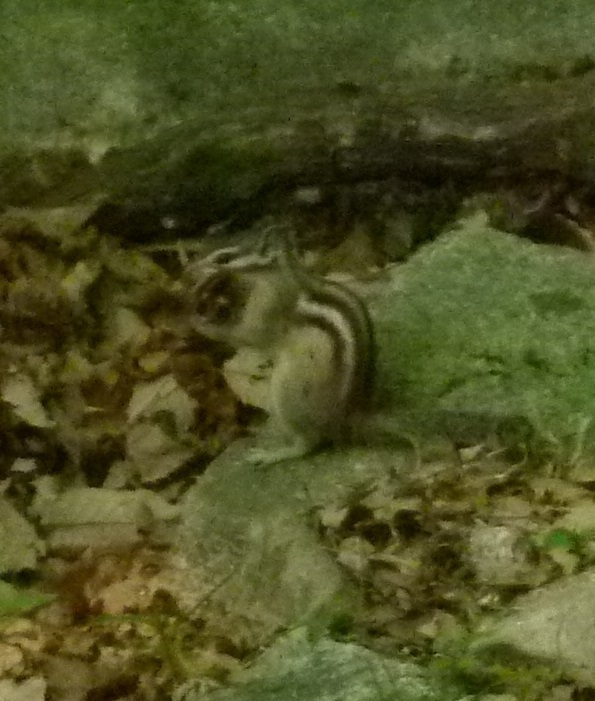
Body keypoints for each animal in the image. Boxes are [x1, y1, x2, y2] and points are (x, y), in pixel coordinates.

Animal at [188, 227, 377, 465]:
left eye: (224, 258)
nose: (189, 269)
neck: (269, 272)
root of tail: (342, 424)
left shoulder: (266, 308)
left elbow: (250, 335)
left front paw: (201, 324)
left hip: (286, 392)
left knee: (310, 442)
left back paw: (273, 454)